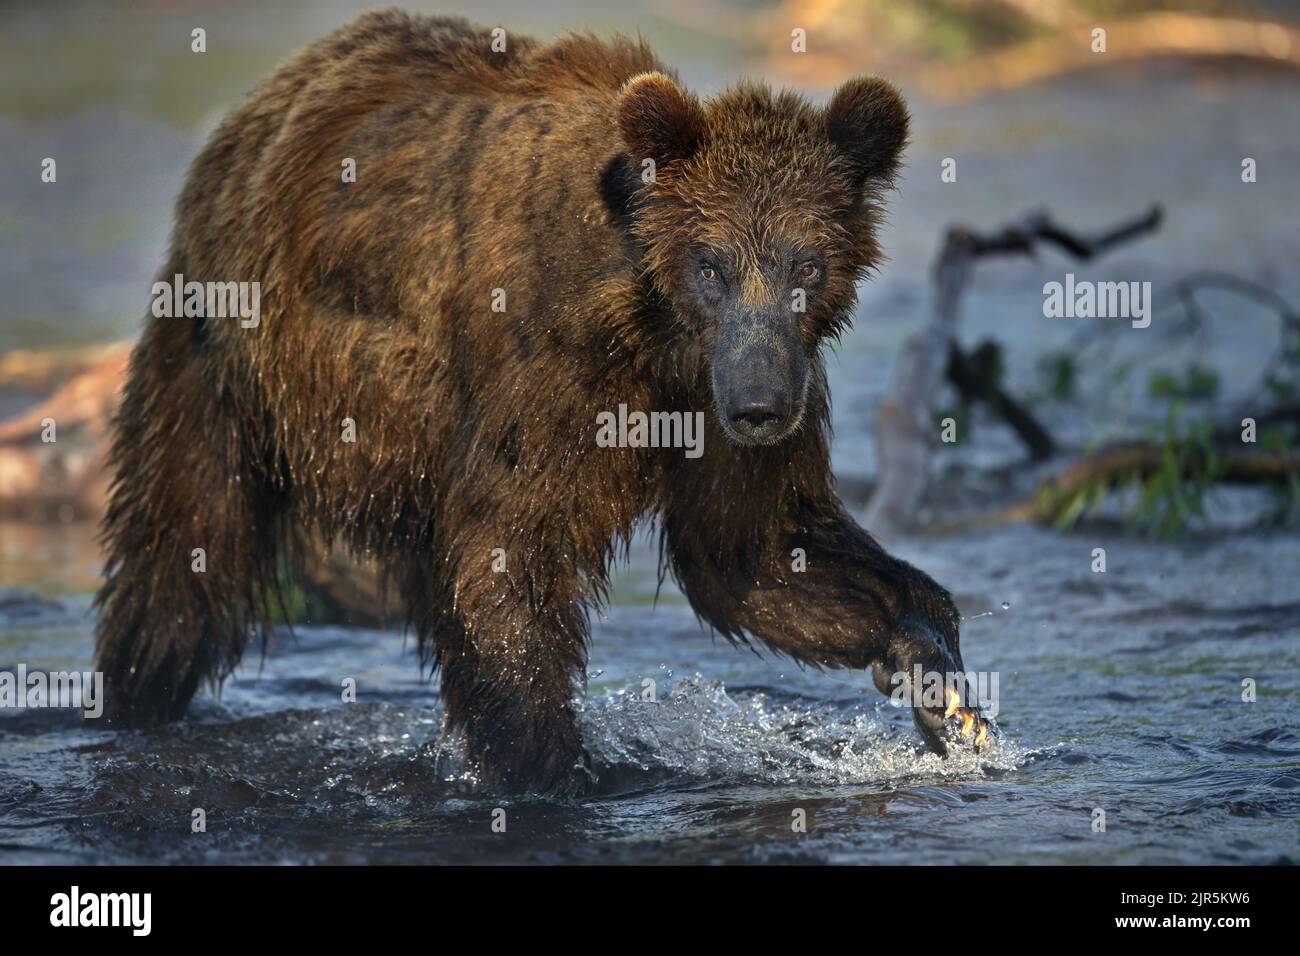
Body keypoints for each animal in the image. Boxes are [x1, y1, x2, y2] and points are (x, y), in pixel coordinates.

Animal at [94, 9, 990, 794]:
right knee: (183, 551)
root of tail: (261, 101)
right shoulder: (549, 366)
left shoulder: (719, 398)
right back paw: (137, 691)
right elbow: (509, 549)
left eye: (808, 264)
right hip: (232, 354)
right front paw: (556, 766)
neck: (651, 330)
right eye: (711, 264)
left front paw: (932, 667)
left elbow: (756, 552)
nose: (762, 408)